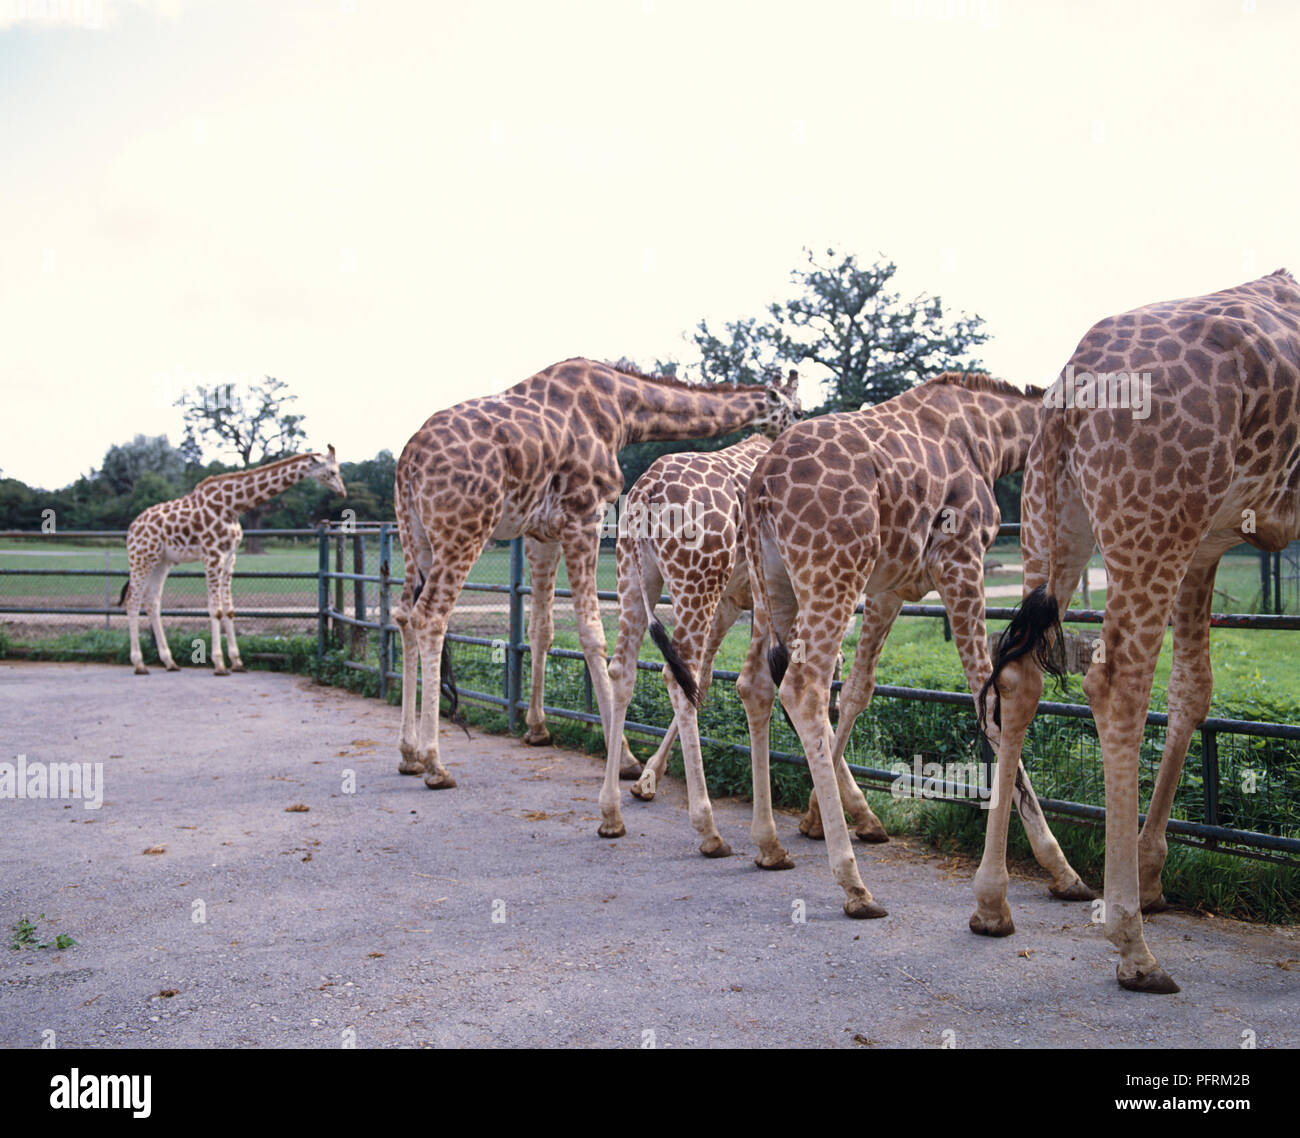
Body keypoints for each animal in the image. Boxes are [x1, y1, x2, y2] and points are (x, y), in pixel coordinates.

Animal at [120, 448, 346, 675]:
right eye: (332, 471)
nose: (343, 493)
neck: (233, 506)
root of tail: (131, 528)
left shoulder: (229, 557)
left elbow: (228, 609)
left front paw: (237, 662)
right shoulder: (212, 555)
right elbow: (215, 609)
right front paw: (219, 664)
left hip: (161, 562)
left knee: (152, 603)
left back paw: (169, 662)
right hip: (141, 559)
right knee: (132, 601)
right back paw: (139, 664)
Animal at [392, 358, 801, 790]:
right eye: (796, 410)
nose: (783, 442)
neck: (624, 408)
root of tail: (408, 460)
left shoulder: (541, 533)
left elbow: (541, 629)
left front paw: (537, 729)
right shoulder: (584, 515)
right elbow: (592, 634)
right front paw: (625, 759)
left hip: (412, 533)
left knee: (402, 614)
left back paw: (408, 753)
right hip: (463, 529)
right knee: (430, 616)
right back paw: (435, 764)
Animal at [736, 373, 1093, 919]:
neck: (989, 436)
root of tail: (761, 485)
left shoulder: (888, 589)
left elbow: (859, 690)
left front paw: (821, 818)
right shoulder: (961, 560)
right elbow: (988, 697)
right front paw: (1057, 870)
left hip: (771, 585)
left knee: (755, 683)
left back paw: (770, 845)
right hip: (834, 571)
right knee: (803, 687)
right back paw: (855, 886)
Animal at [974, 269, 1300, 994]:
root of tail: (1071, 389)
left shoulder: (1209, 545)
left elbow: (1194, 689)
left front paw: (1153, 873)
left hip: (1051, 517)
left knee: (1019, 675)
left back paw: (993, 904)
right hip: (1152, 516)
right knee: (1116, 682)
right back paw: (1133, 947)